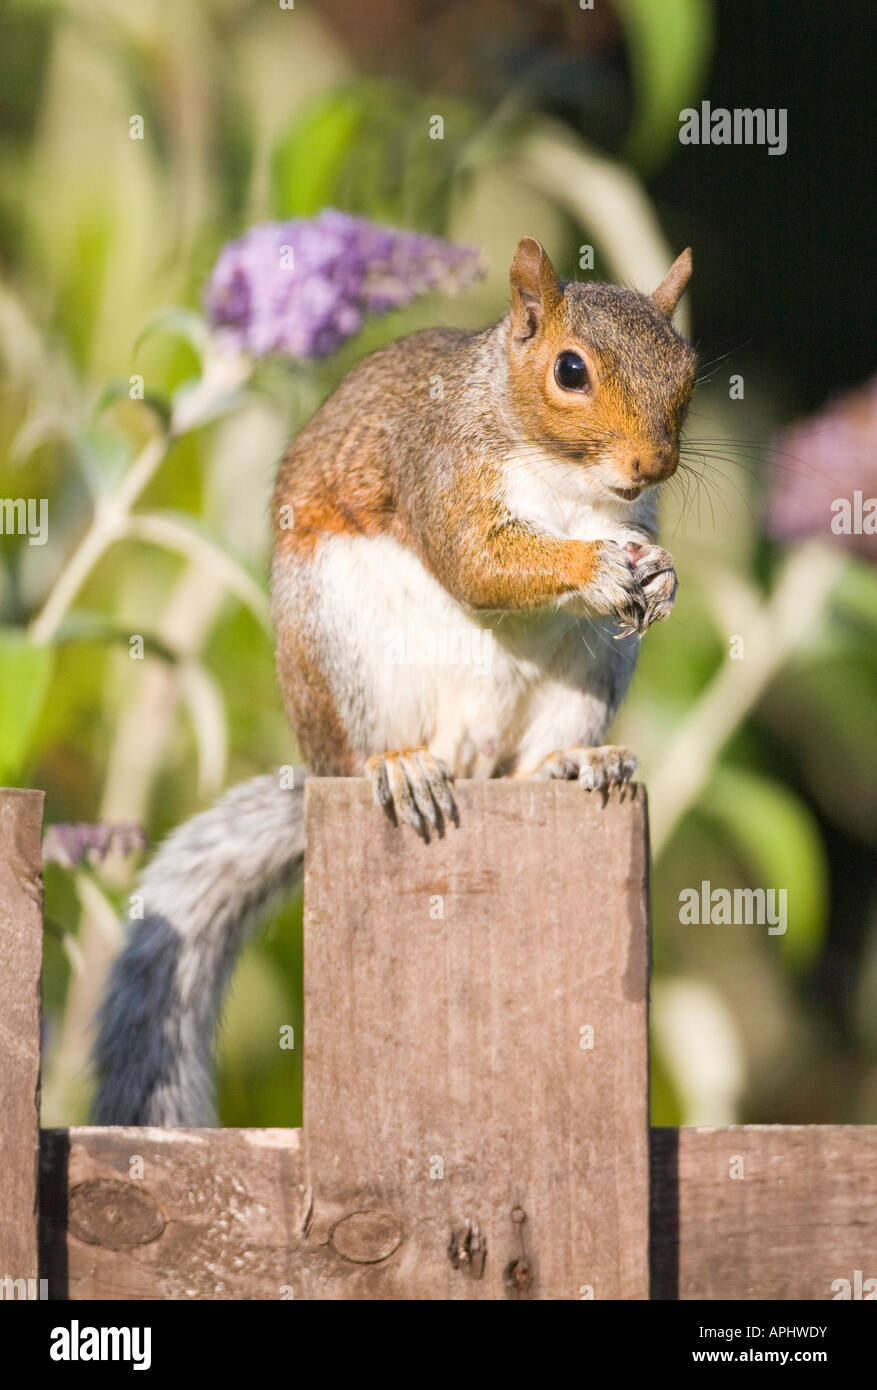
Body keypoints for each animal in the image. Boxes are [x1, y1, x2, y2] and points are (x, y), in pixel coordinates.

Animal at [93, 237, 695, 1125]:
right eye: (570, 370)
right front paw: (591, 569)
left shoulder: (631, 516)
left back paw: (574, 763)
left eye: (685, 369)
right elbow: (477, 562)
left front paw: (660, 578)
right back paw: (402, 768)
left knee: (529, 763)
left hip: (589, 675)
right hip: (344, 641)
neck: (565, 482)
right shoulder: (440, 468)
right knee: (373, 752)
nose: (653, 463)